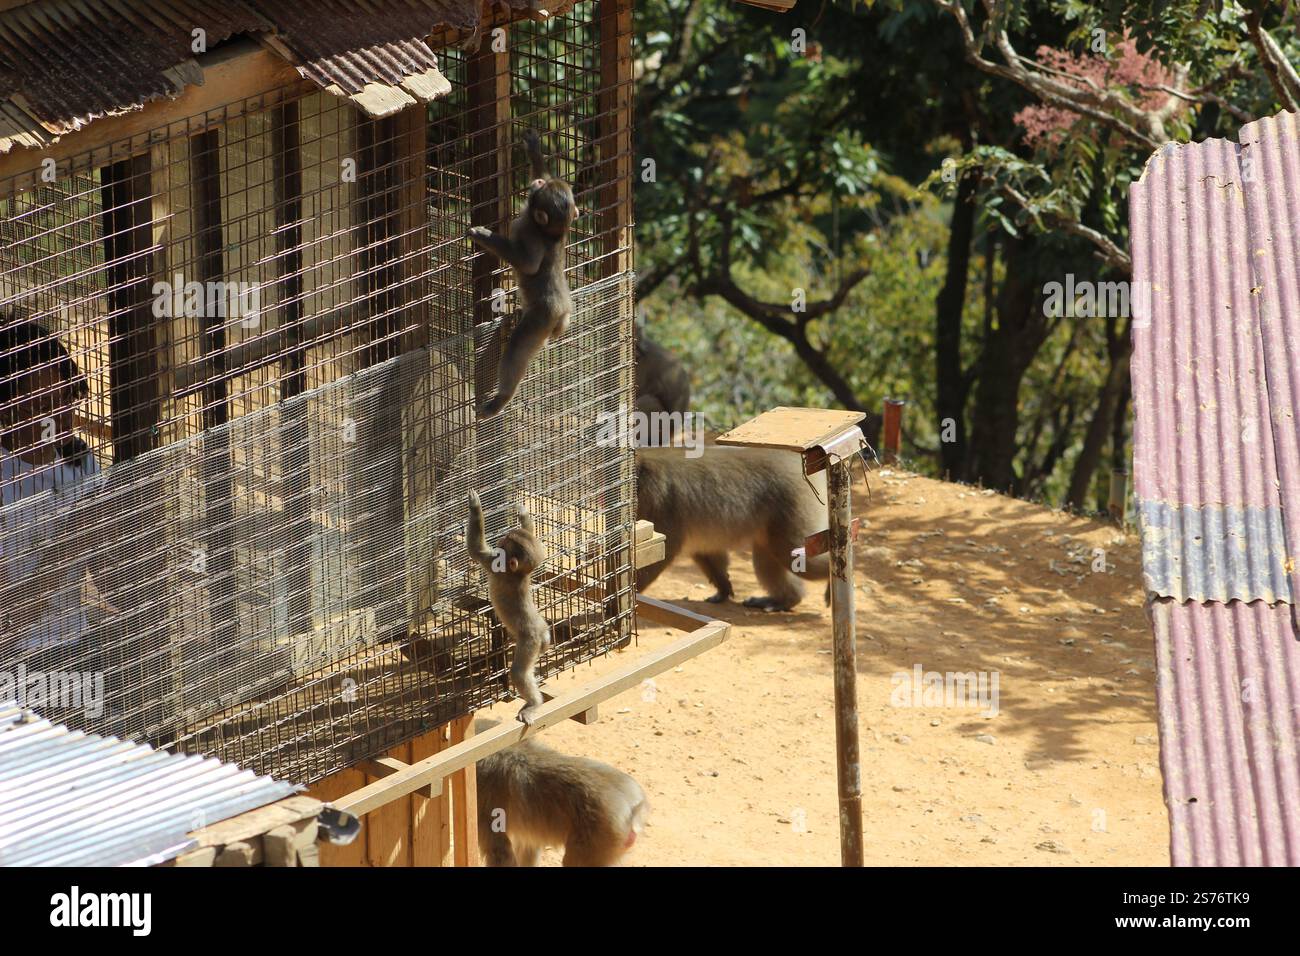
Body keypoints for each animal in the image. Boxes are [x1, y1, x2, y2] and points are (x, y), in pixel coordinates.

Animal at [464, 491, 551, 725]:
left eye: (505, 543)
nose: (501, 538)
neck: (517, 573)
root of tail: (542, 632)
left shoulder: (495, 562)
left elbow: (476, 549)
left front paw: (475, 505)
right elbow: (530, 532)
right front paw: (523, 515)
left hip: (529, 641)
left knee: (519, 673)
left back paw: (533, 704)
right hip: (540, 637)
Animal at [469, 130, 576, 418]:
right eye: (543, 185)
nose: (537, 182)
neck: (551, 233)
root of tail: (562, 312)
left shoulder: (530, 232)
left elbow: (528, 264)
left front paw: (485, 236)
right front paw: (534, 150)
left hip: (542, 318)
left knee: (517, 350)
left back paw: (502, 398)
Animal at [635, 445, 829, 611]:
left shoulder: (658, 502)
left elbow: (661, 552)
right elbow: (707, 551)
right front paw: (724, 588)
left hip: (794, 502)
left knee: (795, 553)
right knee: (768, 558)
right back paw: (785, 600)